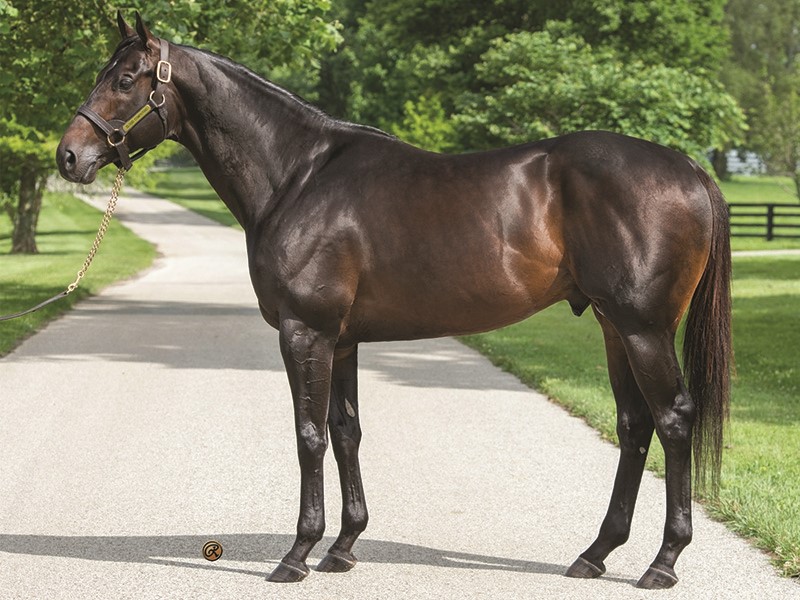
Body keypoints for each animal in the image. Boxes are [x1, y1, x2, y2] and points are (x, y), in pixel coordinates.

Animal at [56, 13, 732, 589]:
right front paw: (343, 547)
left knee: (673, 420)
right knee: (635, 424)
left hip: (643, 328)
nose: (69, 156)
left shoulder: (305, 331)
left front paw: (297, 555)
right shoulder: (342, 339)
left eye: (124, 79)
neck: (298, 175)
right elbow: (346, 430)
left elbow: (308, 435)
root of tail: (687, 166)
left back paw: (663, 562)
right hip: (614, 326)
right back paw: (595, 554)